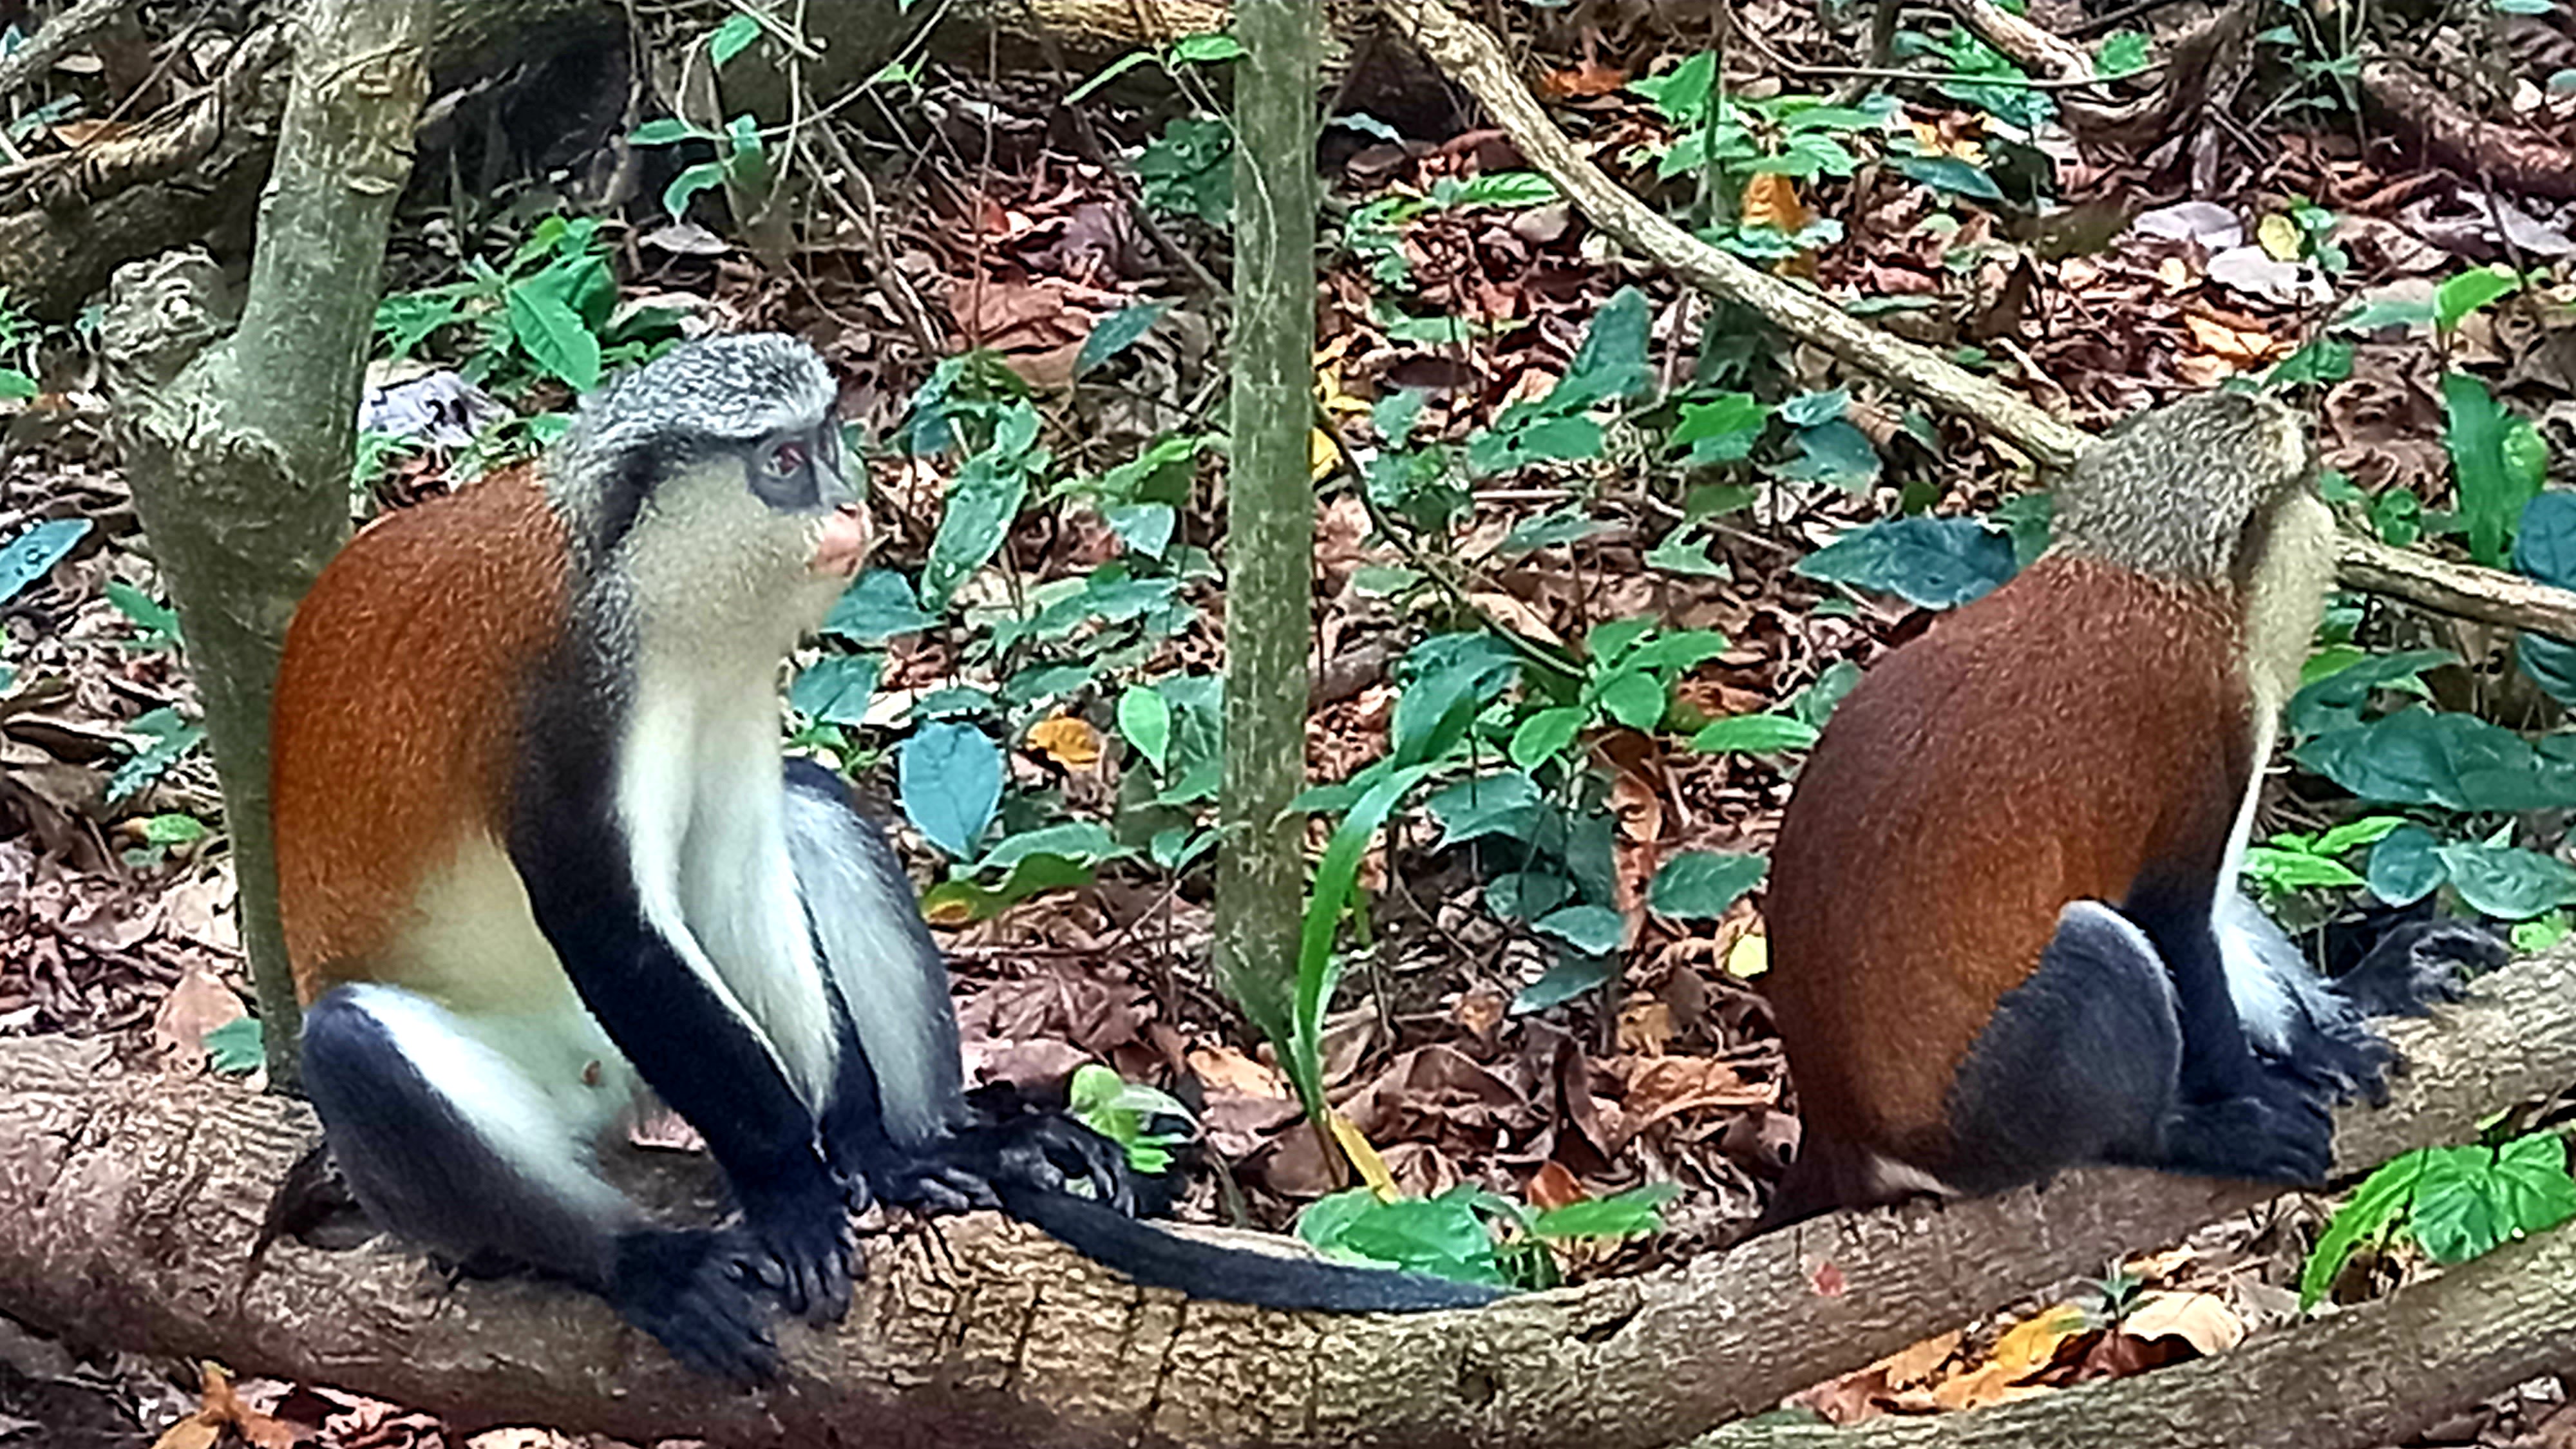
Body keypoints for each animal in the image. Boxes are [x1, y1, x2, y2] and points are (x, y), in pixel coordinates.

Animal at [270, 334, 1494, 1384]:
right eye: (781, 462)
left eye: (827, 440)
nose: (847, 504)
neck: (653, 605)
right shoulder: (562, 715)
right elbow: (611, 930)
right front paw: (794, 1187)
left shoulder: (730, 697)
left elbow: (740, 865)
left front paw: (868, 1152)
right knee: (352, 1045)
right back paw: (644, 1262)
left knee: (815, 809)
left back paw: (957, 1145)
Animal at [1755, 390, 2502, 1225]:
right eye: (2305, 481)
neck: (2138, 572)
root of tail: (1842, 1130)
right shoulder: (2209, 729)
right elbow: (2175, 916)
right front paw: (2289, 1067)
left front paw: (2351, 1000)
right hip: (1984, 1108)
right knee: (2101, 950)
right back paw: (2178, 1133)